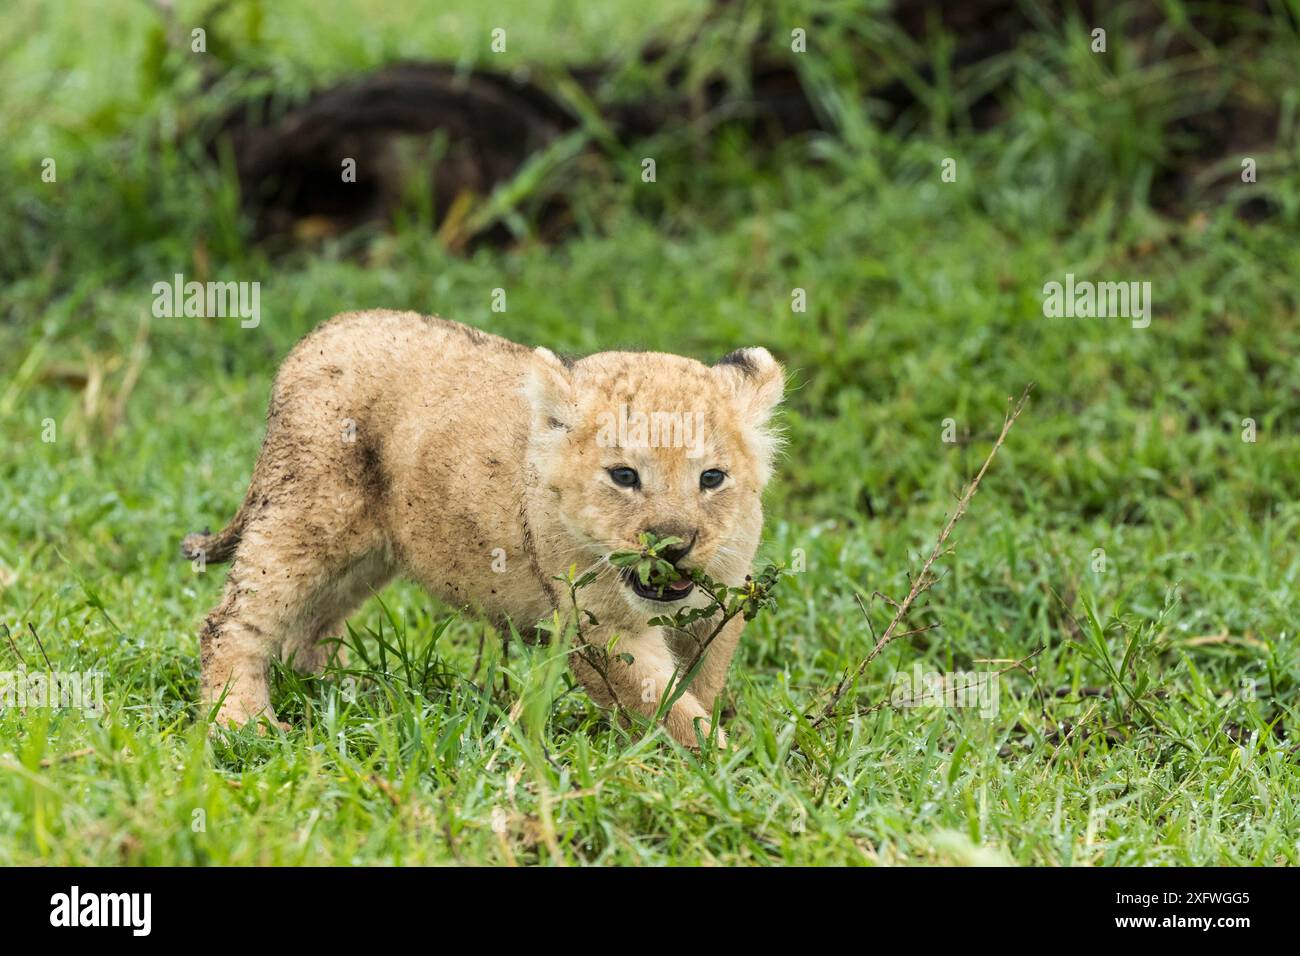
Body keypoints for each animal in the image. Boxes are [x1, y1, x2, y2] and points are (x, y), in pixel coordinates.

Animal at [183, 310, 784, 747]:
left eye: (712, 478)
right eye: (623, 476)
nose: (673, 544)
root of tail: (323, 332)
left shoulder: (719, 608)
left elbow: (701, 686)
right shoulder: (600, 628)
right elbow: (670, 710)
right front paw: (727, 773)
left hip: (368, 554)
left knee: (310, 624)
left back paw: (341, 694)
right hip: (306, 515)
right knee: (230, 622)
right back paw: (243, 724)